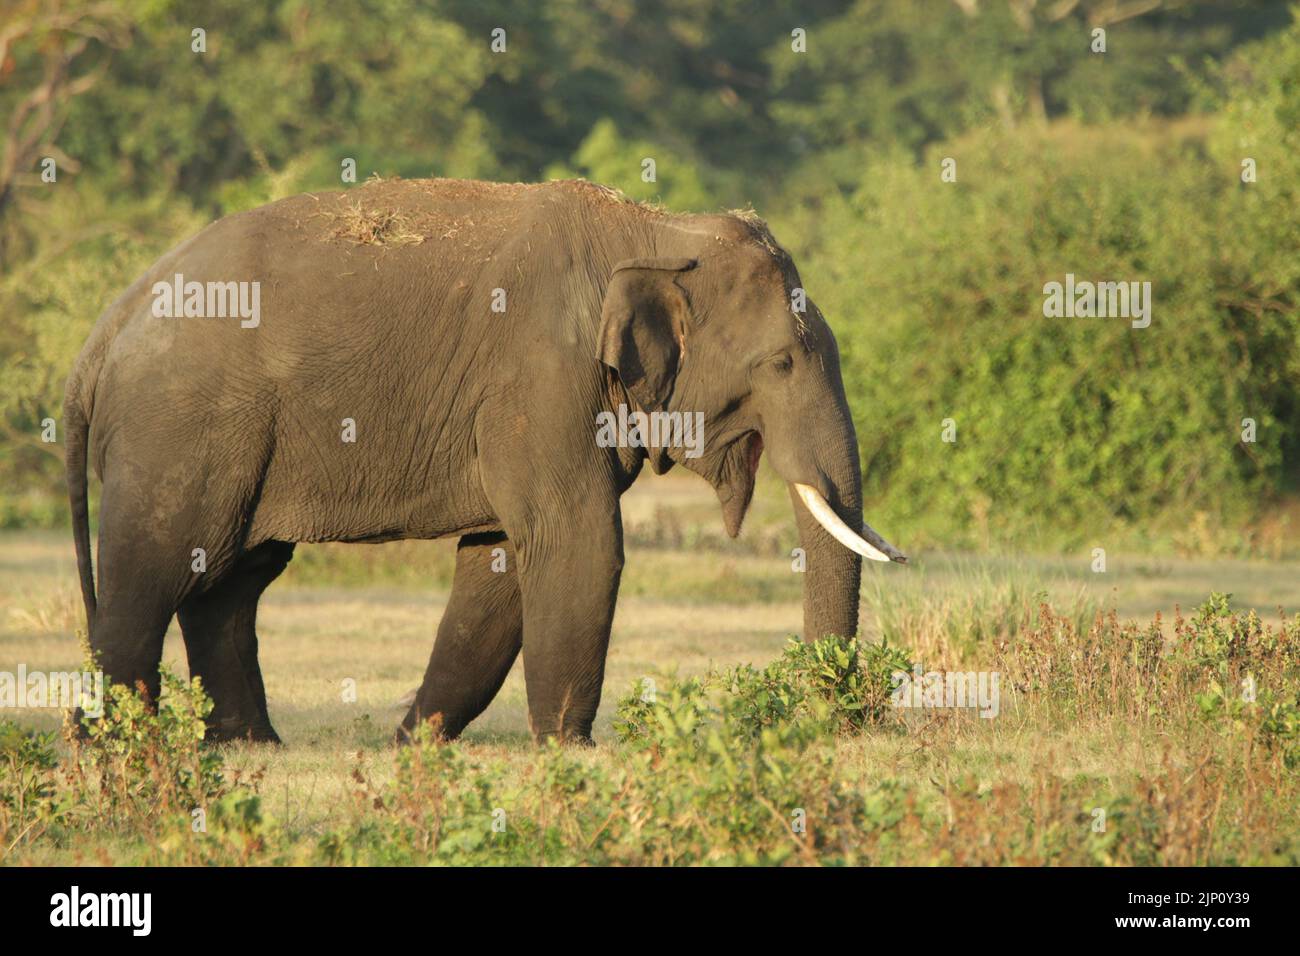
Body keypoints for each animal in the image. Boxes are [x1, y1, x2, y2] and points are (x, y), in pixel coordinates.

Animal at [64, 176, 905, 745]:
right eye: (783, 365)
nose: (825, 719)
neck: (656, 230)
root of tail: (104, 330)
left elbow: (499, 562)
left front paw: (412, 743)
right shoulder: (539, 377)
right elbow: (576, 541)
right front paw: (570, 750)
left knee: (232, 581)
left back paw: (251, 746)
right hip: (181, 430)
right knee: (158, 572)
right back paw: (127, 744)